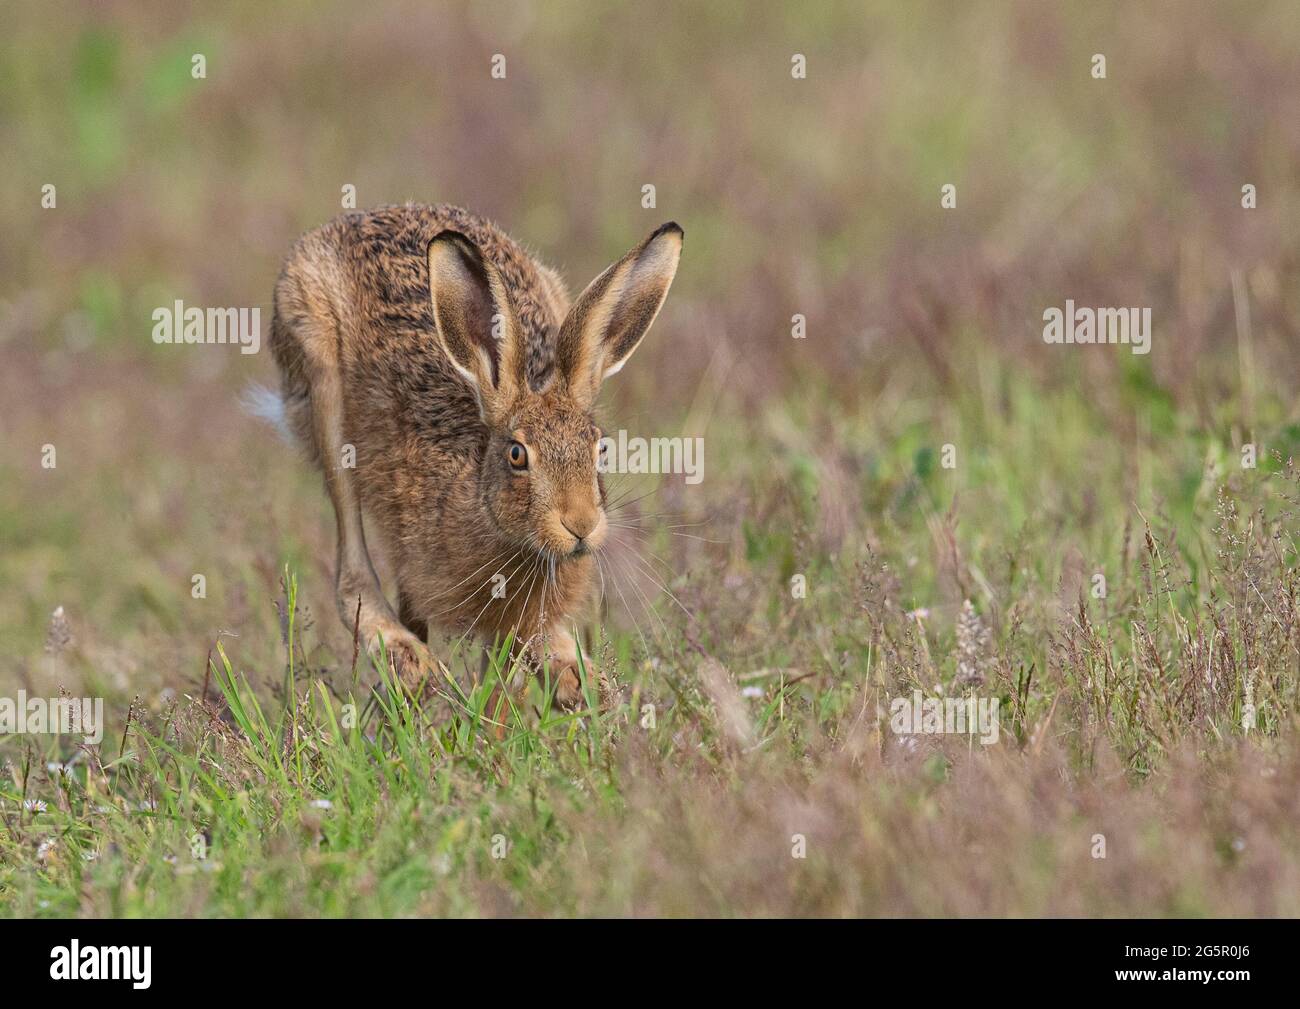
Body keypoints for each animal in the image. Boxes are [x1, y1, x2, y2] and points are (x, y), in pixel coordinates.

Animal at [265, 203, 682, 712]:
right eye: (518, 454)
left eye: (599, 448)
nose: (580, 525)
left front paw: (571, 683)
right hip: (319, 372)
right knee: (352, 570)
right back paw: (412, 670)